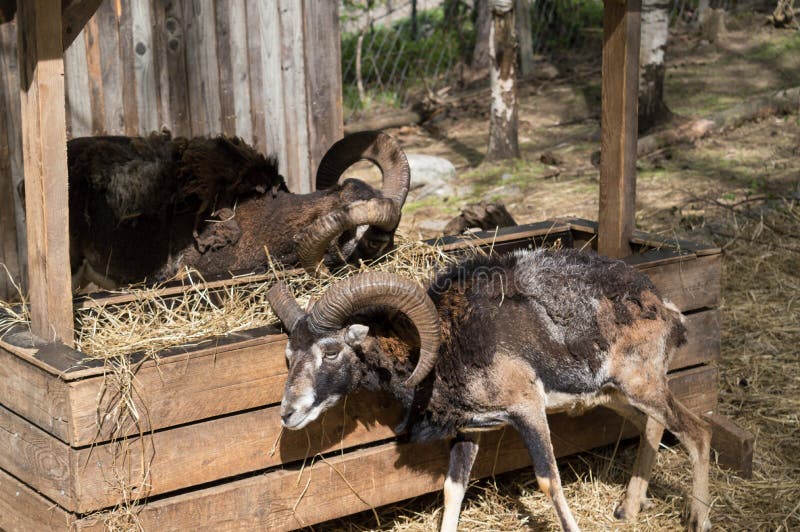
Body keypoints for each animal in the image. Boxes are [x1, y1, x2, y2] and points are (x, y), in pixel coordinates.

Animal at [266, 248, 711, 532]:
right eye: (288, 356)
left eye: (331, 350)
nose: (288, 413)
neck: (447, 343)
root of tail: (666, 308)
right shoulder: (469, 430)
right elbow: (452, 491)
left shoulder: (528, 409)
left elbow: (549, 481)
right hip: (615, 393)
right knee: (653, 426)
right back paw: (628, 509)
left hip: (641, 384)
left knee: (697, 433)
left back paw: (698, 519)